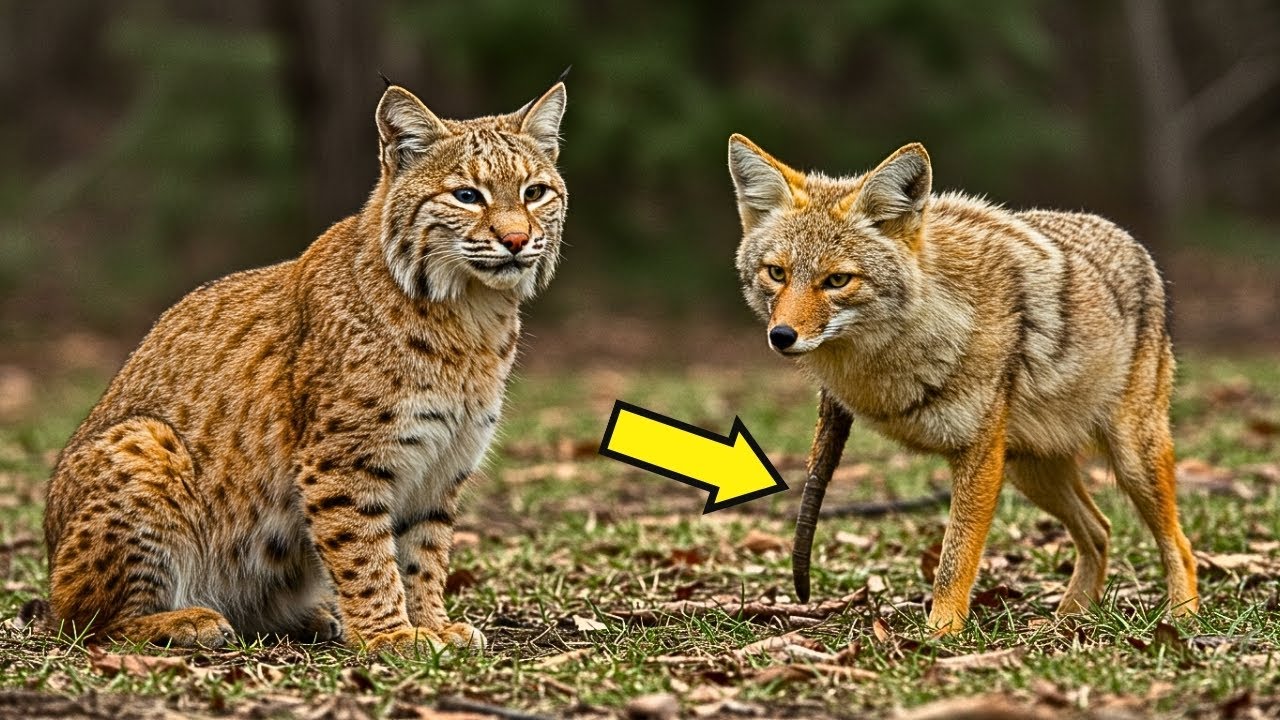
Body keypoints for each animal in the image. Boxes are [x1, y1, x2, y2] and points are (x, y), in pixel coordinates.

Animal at [727, 135, 1199, 634]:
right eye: (777, 273)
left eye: (837, 280)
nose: (782, 336)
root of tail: (1130, 240)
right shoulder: (989, 457)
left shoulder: (978, 455)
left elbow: (954, 560)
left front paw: (940, 634)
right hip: (1029, 471)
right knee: (1101, 529)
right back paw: (1067, 619)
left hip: (1130, 461)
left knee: (1179, 546)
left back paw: (1182, 620)